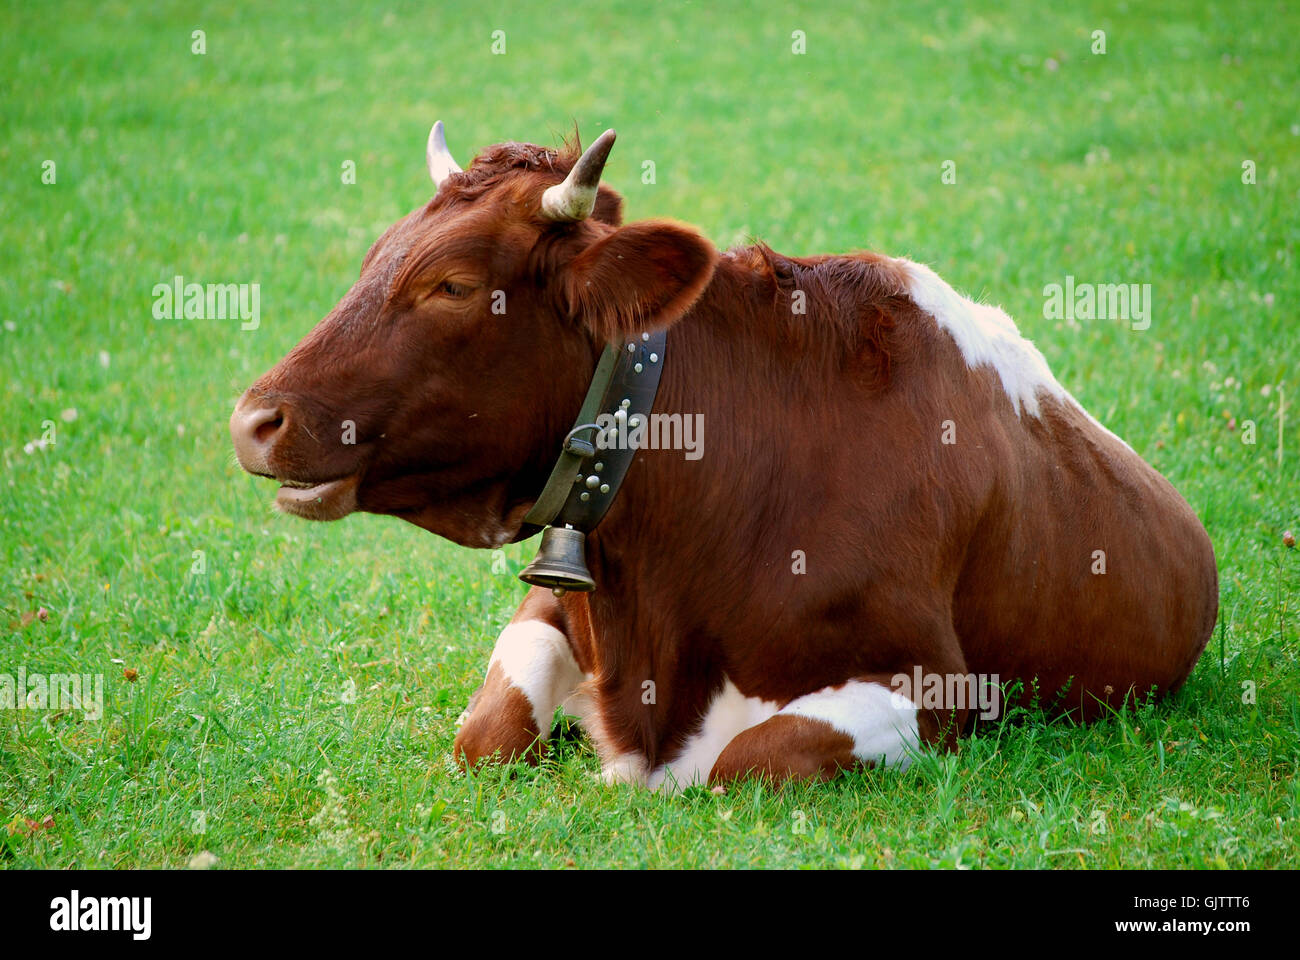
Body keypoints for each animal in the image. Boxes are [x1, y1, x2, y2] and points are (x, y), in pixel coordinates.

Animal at [230, 122, 1218, 791]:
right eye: (373, 256)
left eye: (453, 285)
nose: (252, 420)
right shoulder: (556, 607)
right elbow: (487, 733)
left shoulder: (937, 685)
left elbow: (744, 758)